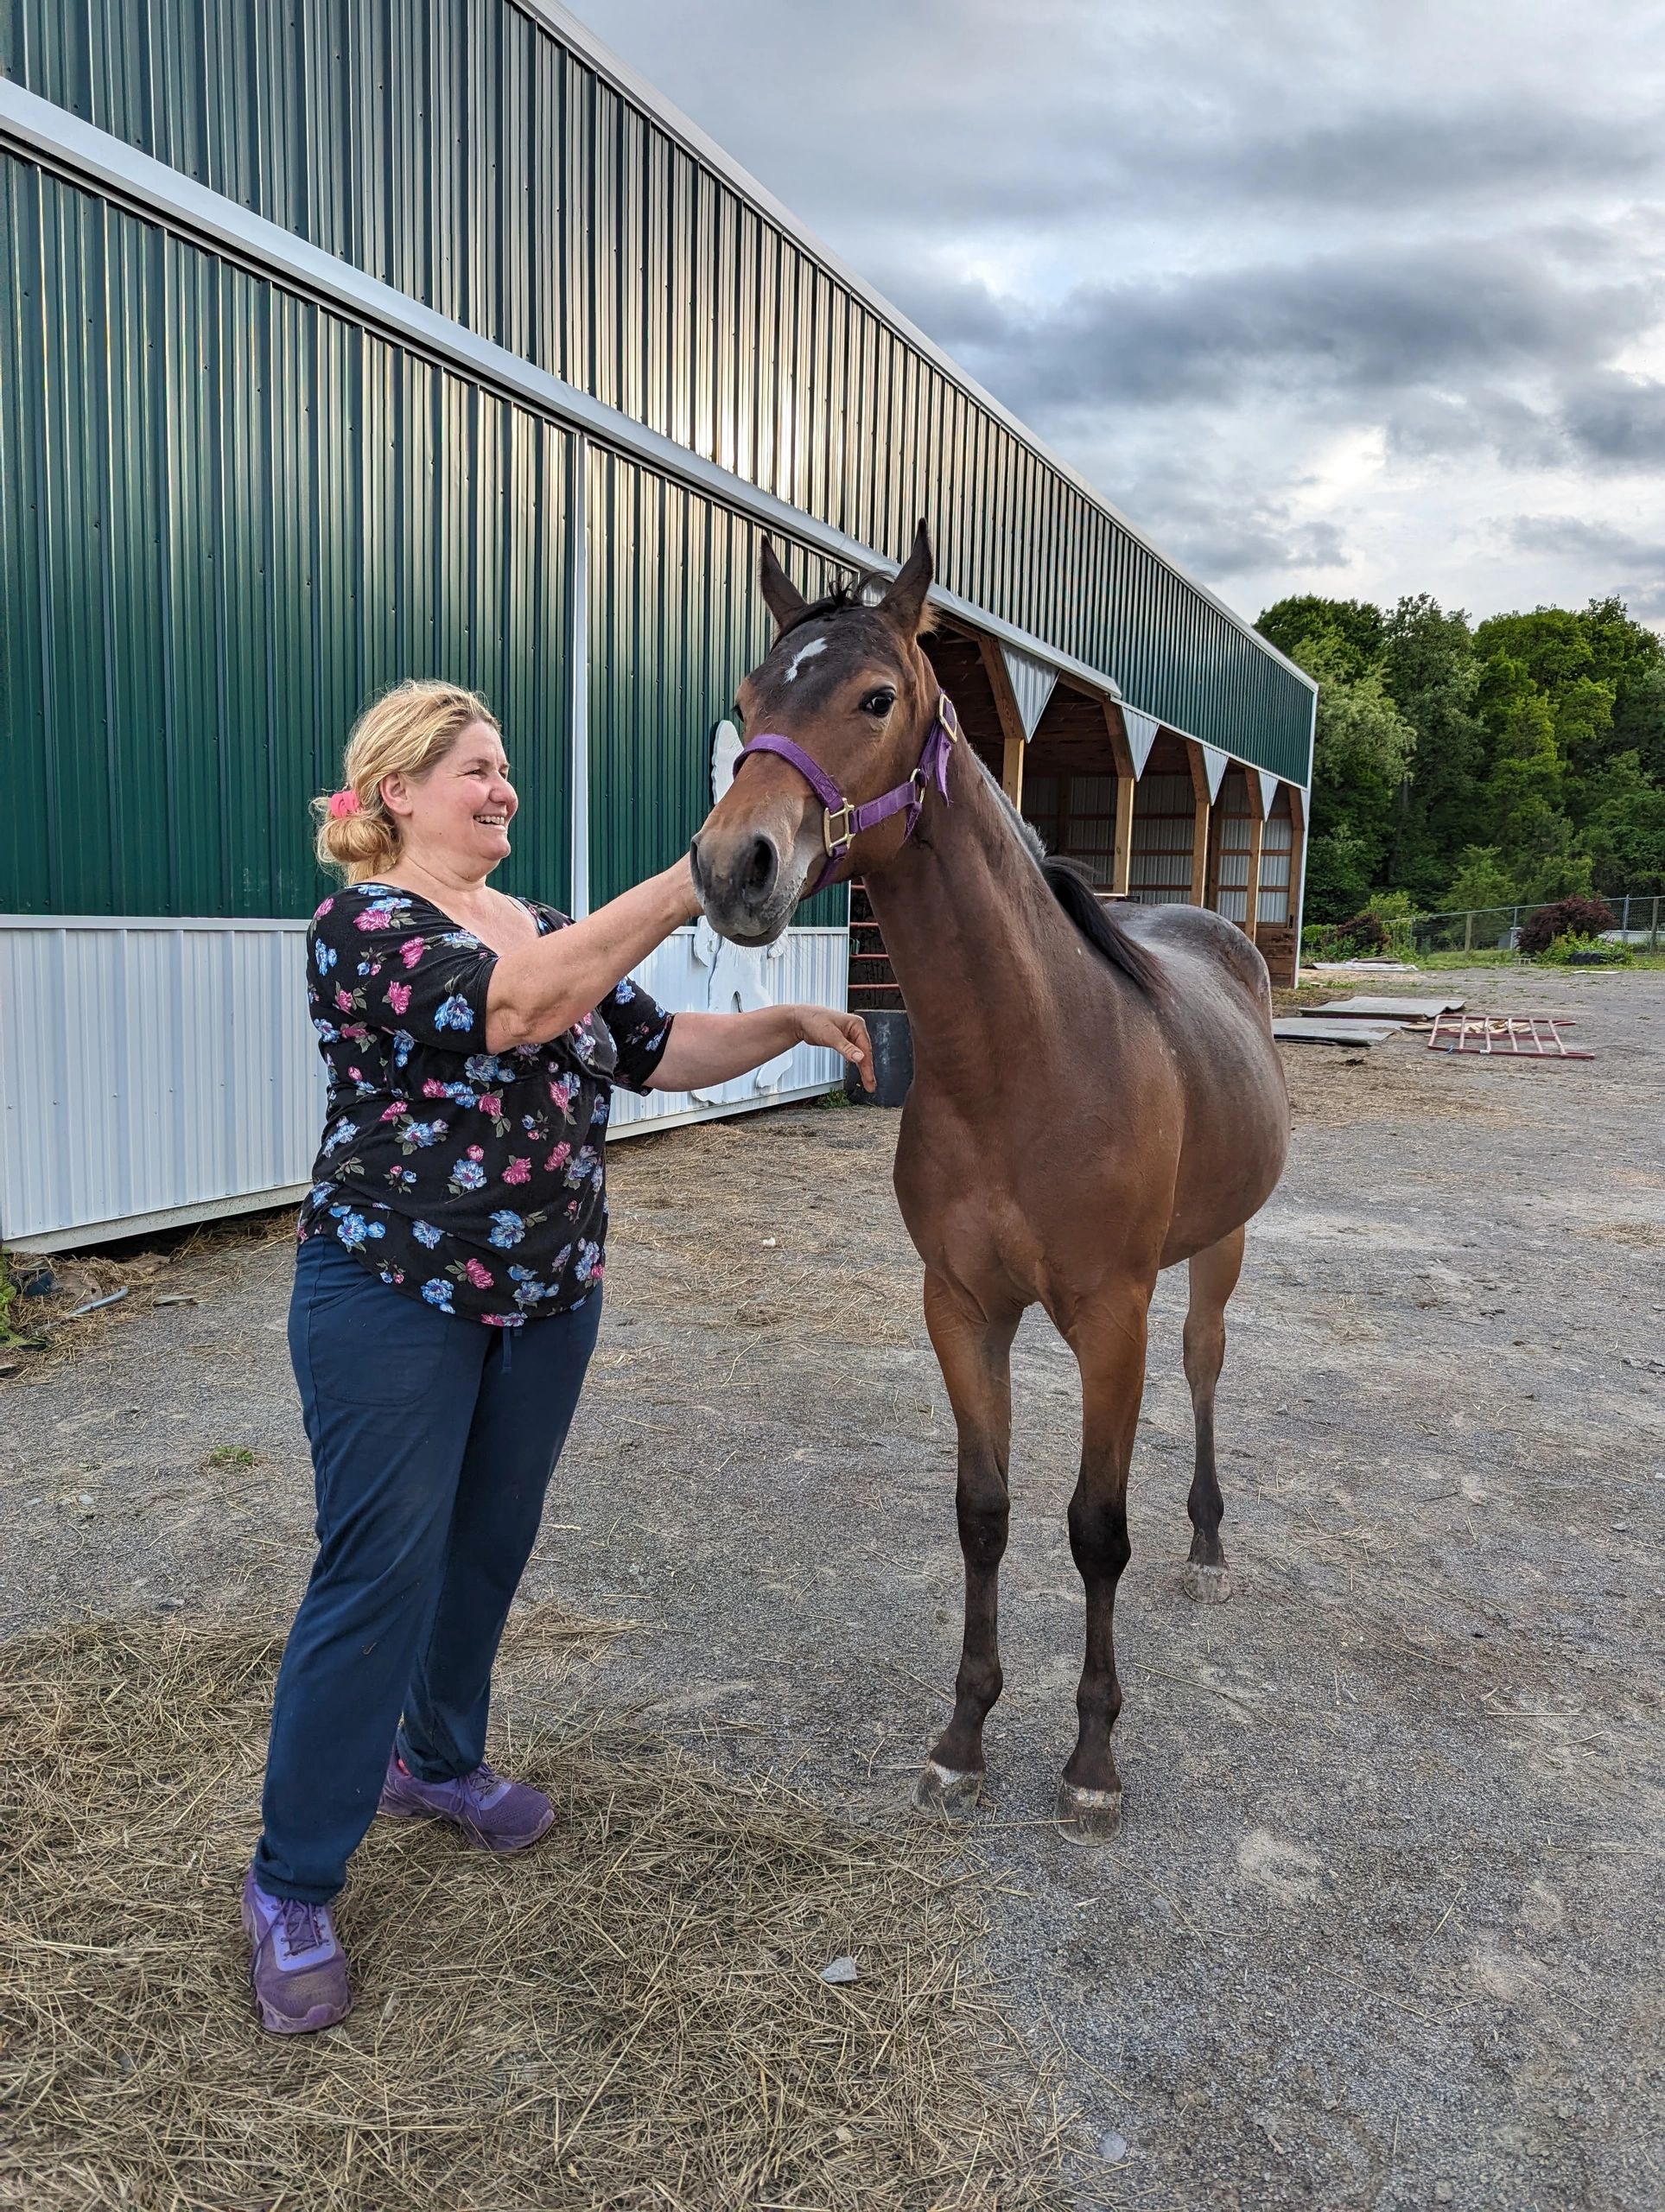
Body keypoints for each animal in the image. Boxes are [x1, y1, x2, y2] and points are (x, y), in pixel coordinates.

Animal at [689, 524, 1290, 1841]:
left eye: (874, 696)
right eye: (747, 702)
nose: (729, 867)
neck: (1028, 1059)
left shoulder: (1107, 1315)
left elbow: (1095, 1530)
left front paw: (1092, 1758)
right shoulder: (962, 1309)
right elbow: (983, 1514)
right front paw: (963, 1736)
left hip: (1215, 1254)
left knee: (1202, 1369)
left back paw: (1208, 1546)